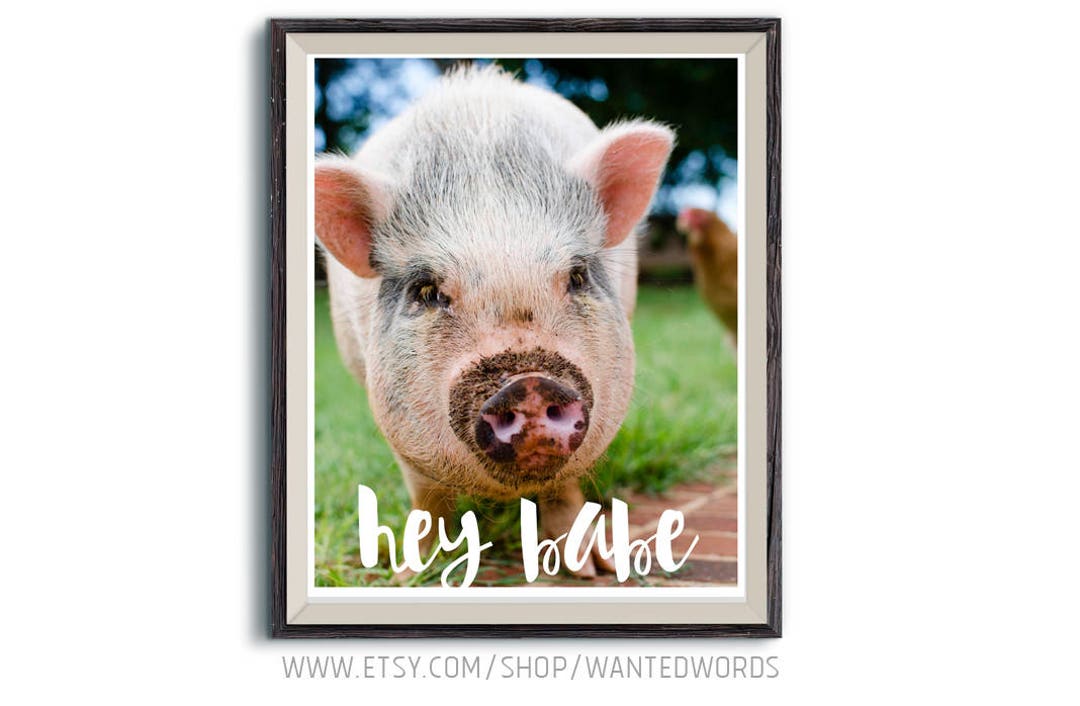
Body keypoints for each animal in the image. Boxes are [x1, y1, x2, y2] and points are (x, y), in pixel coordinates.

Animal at [314, 65, 674, 577]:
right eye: (428, 291)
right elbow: (427, 497)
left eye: (577, 276)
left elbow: (563, 490)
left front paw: (589, 570)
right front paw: (409, 573)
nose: (529, 382)